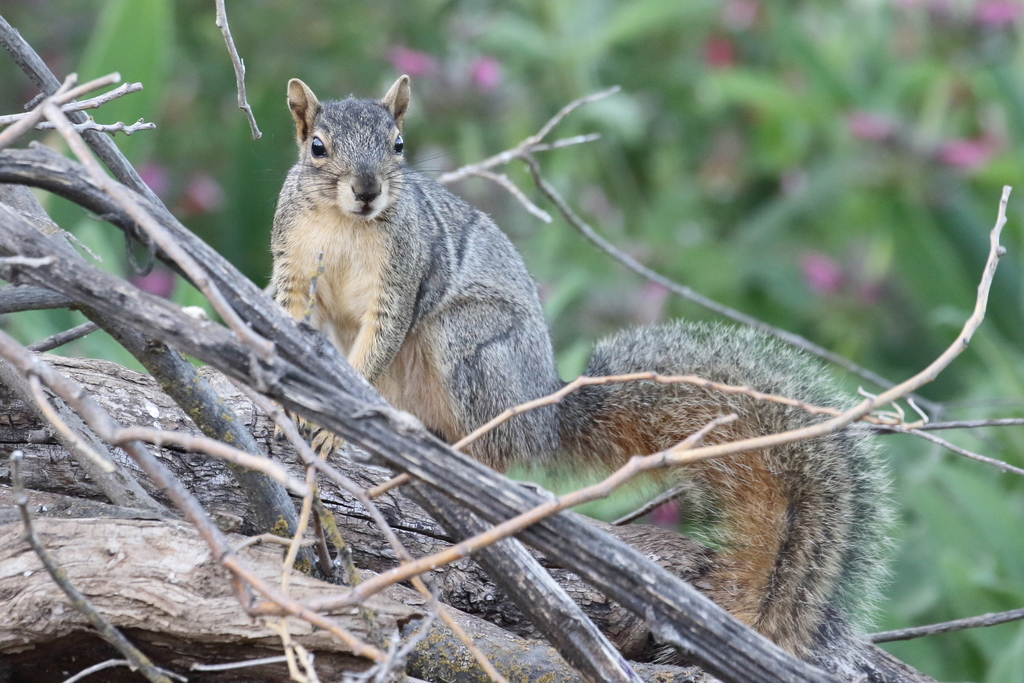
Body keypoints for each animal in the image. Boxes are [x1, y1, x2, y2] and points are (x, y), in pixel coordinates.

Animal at [270, 76, 892, 664]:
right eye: (317, 147)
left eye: (398, 143)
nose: (368, 190)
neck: (344, 223)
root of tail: (545, 415)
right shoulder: (294, 265)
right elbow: (287, 313)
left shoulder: (403, 274)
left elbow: (380, 340)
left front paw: (330, 421)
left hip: (469, 344)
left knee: (496, 448)